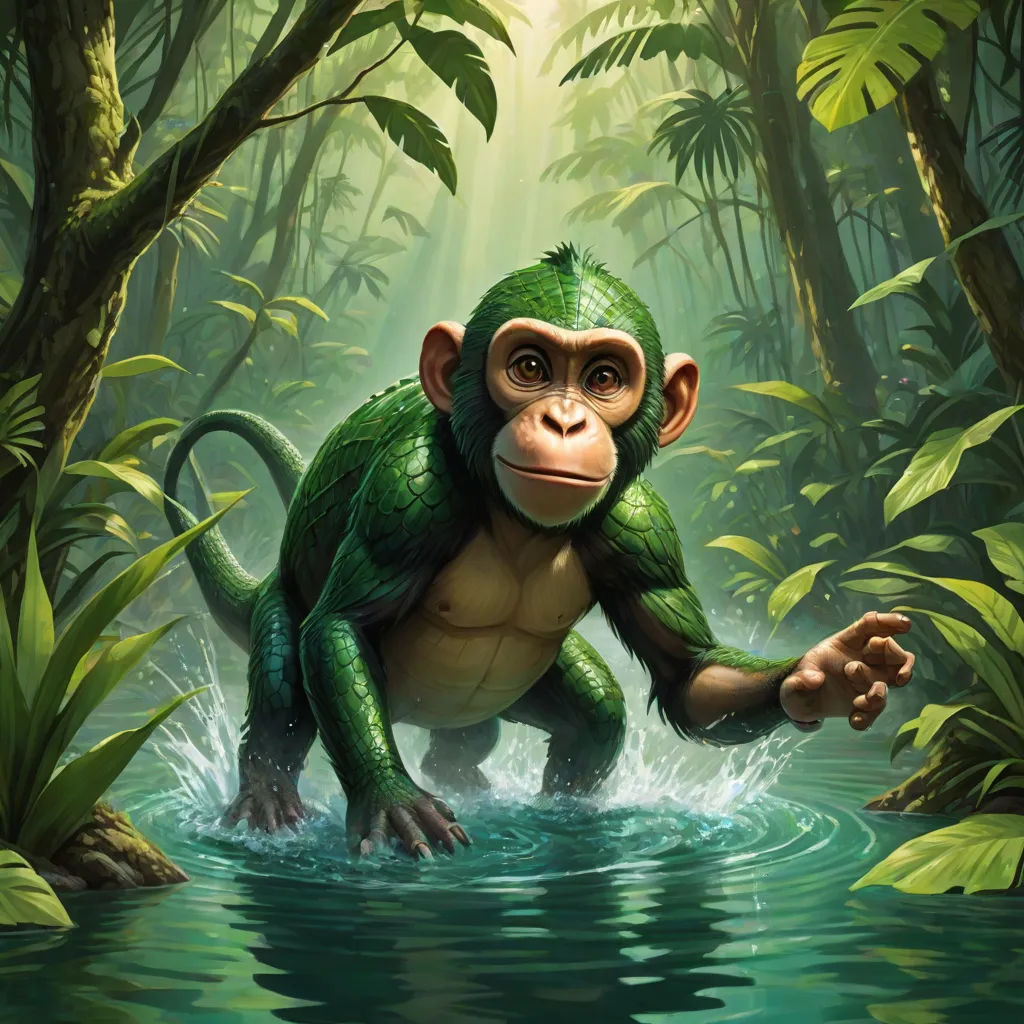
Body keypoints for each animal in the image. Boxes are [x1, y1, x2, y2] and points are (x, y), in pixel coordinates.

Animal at [164, 244, 914, 858]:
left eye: (604, 378)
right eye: (528, 367)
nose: (563, 420)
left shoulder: (642, 525)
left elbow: (689, 673)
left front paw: (824, 673)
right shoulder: (410, 489)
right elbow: (341, 624)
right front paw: (390, 797)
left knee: (592, 711)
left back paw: (526, 799)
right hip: (280, 608)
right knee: (286, 679)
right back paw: (267, 797)